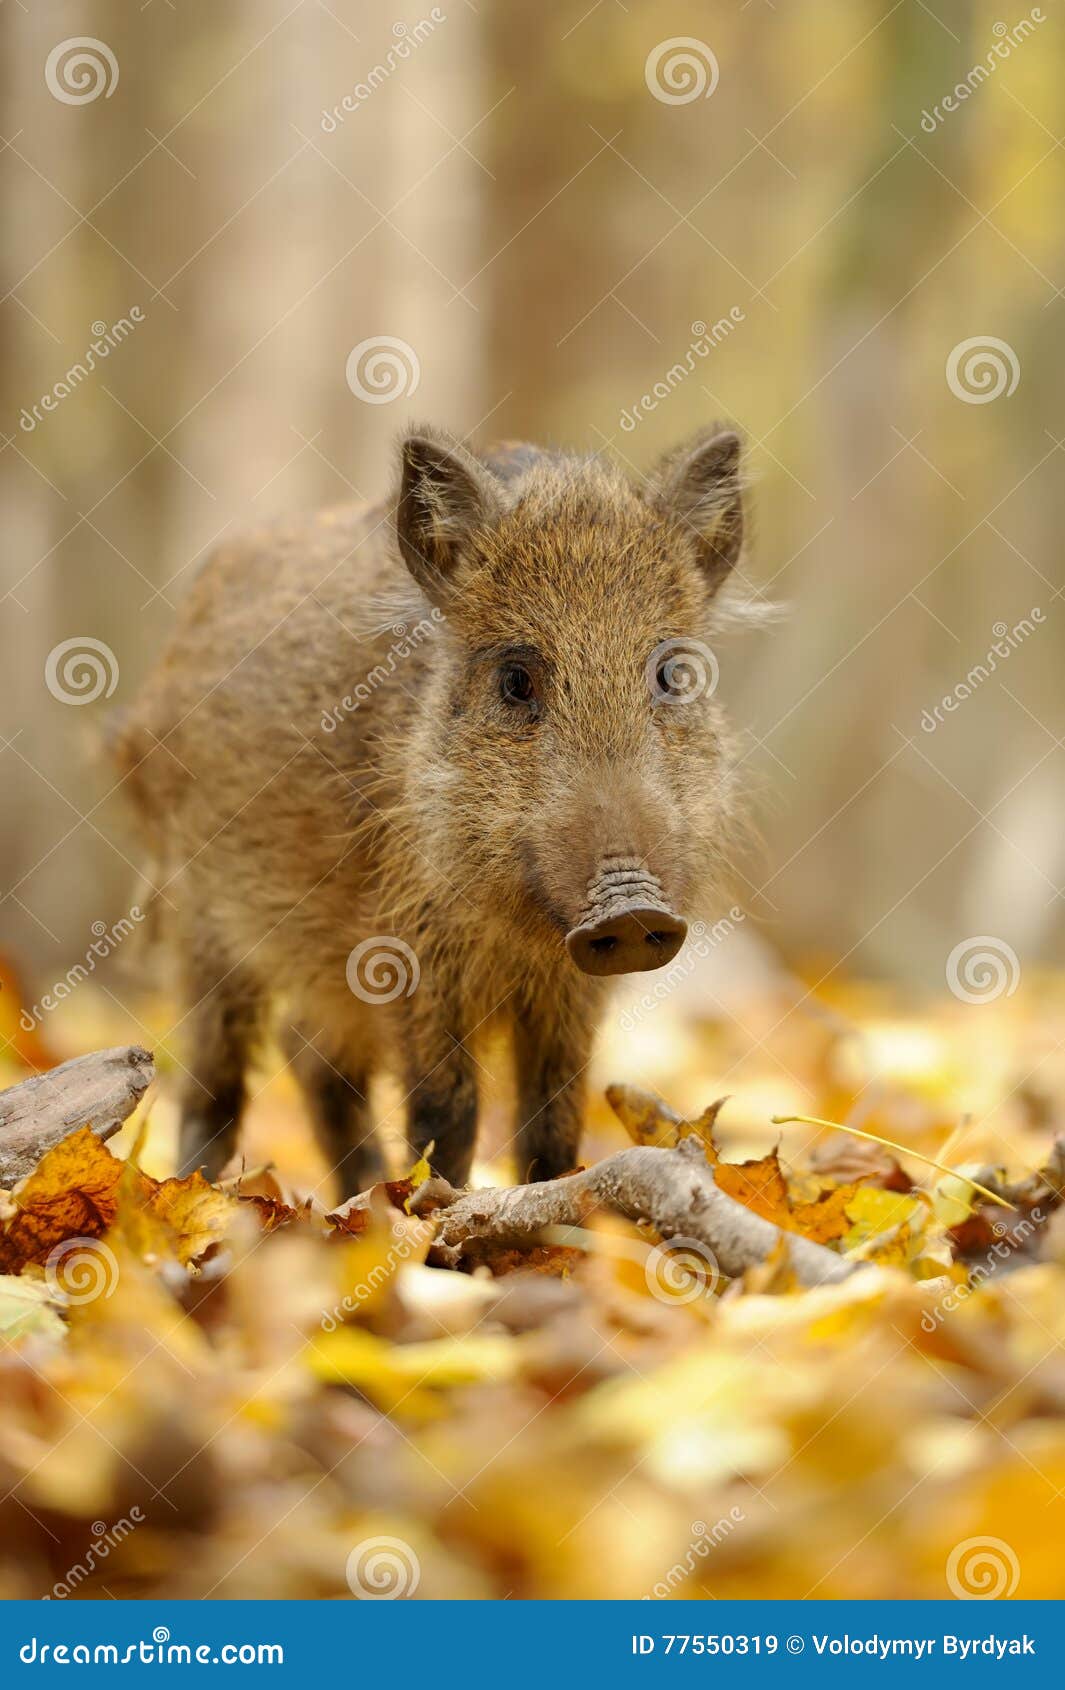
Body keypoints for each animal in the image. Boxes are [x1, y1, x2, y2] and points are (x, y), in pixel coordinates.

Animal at [112, 424, 748, 1195]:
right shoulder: (408, 950)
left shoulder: (572, 991)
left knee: (311, 1057)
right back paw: (200, 1189)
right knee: (217, 1077)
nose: (630, 909)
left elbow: (552, 1115)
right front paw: (435, 1207)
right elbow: (448, 1111)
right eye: (515, 680)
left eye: (670, 674)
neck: (520, 930)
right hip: (201, 921)